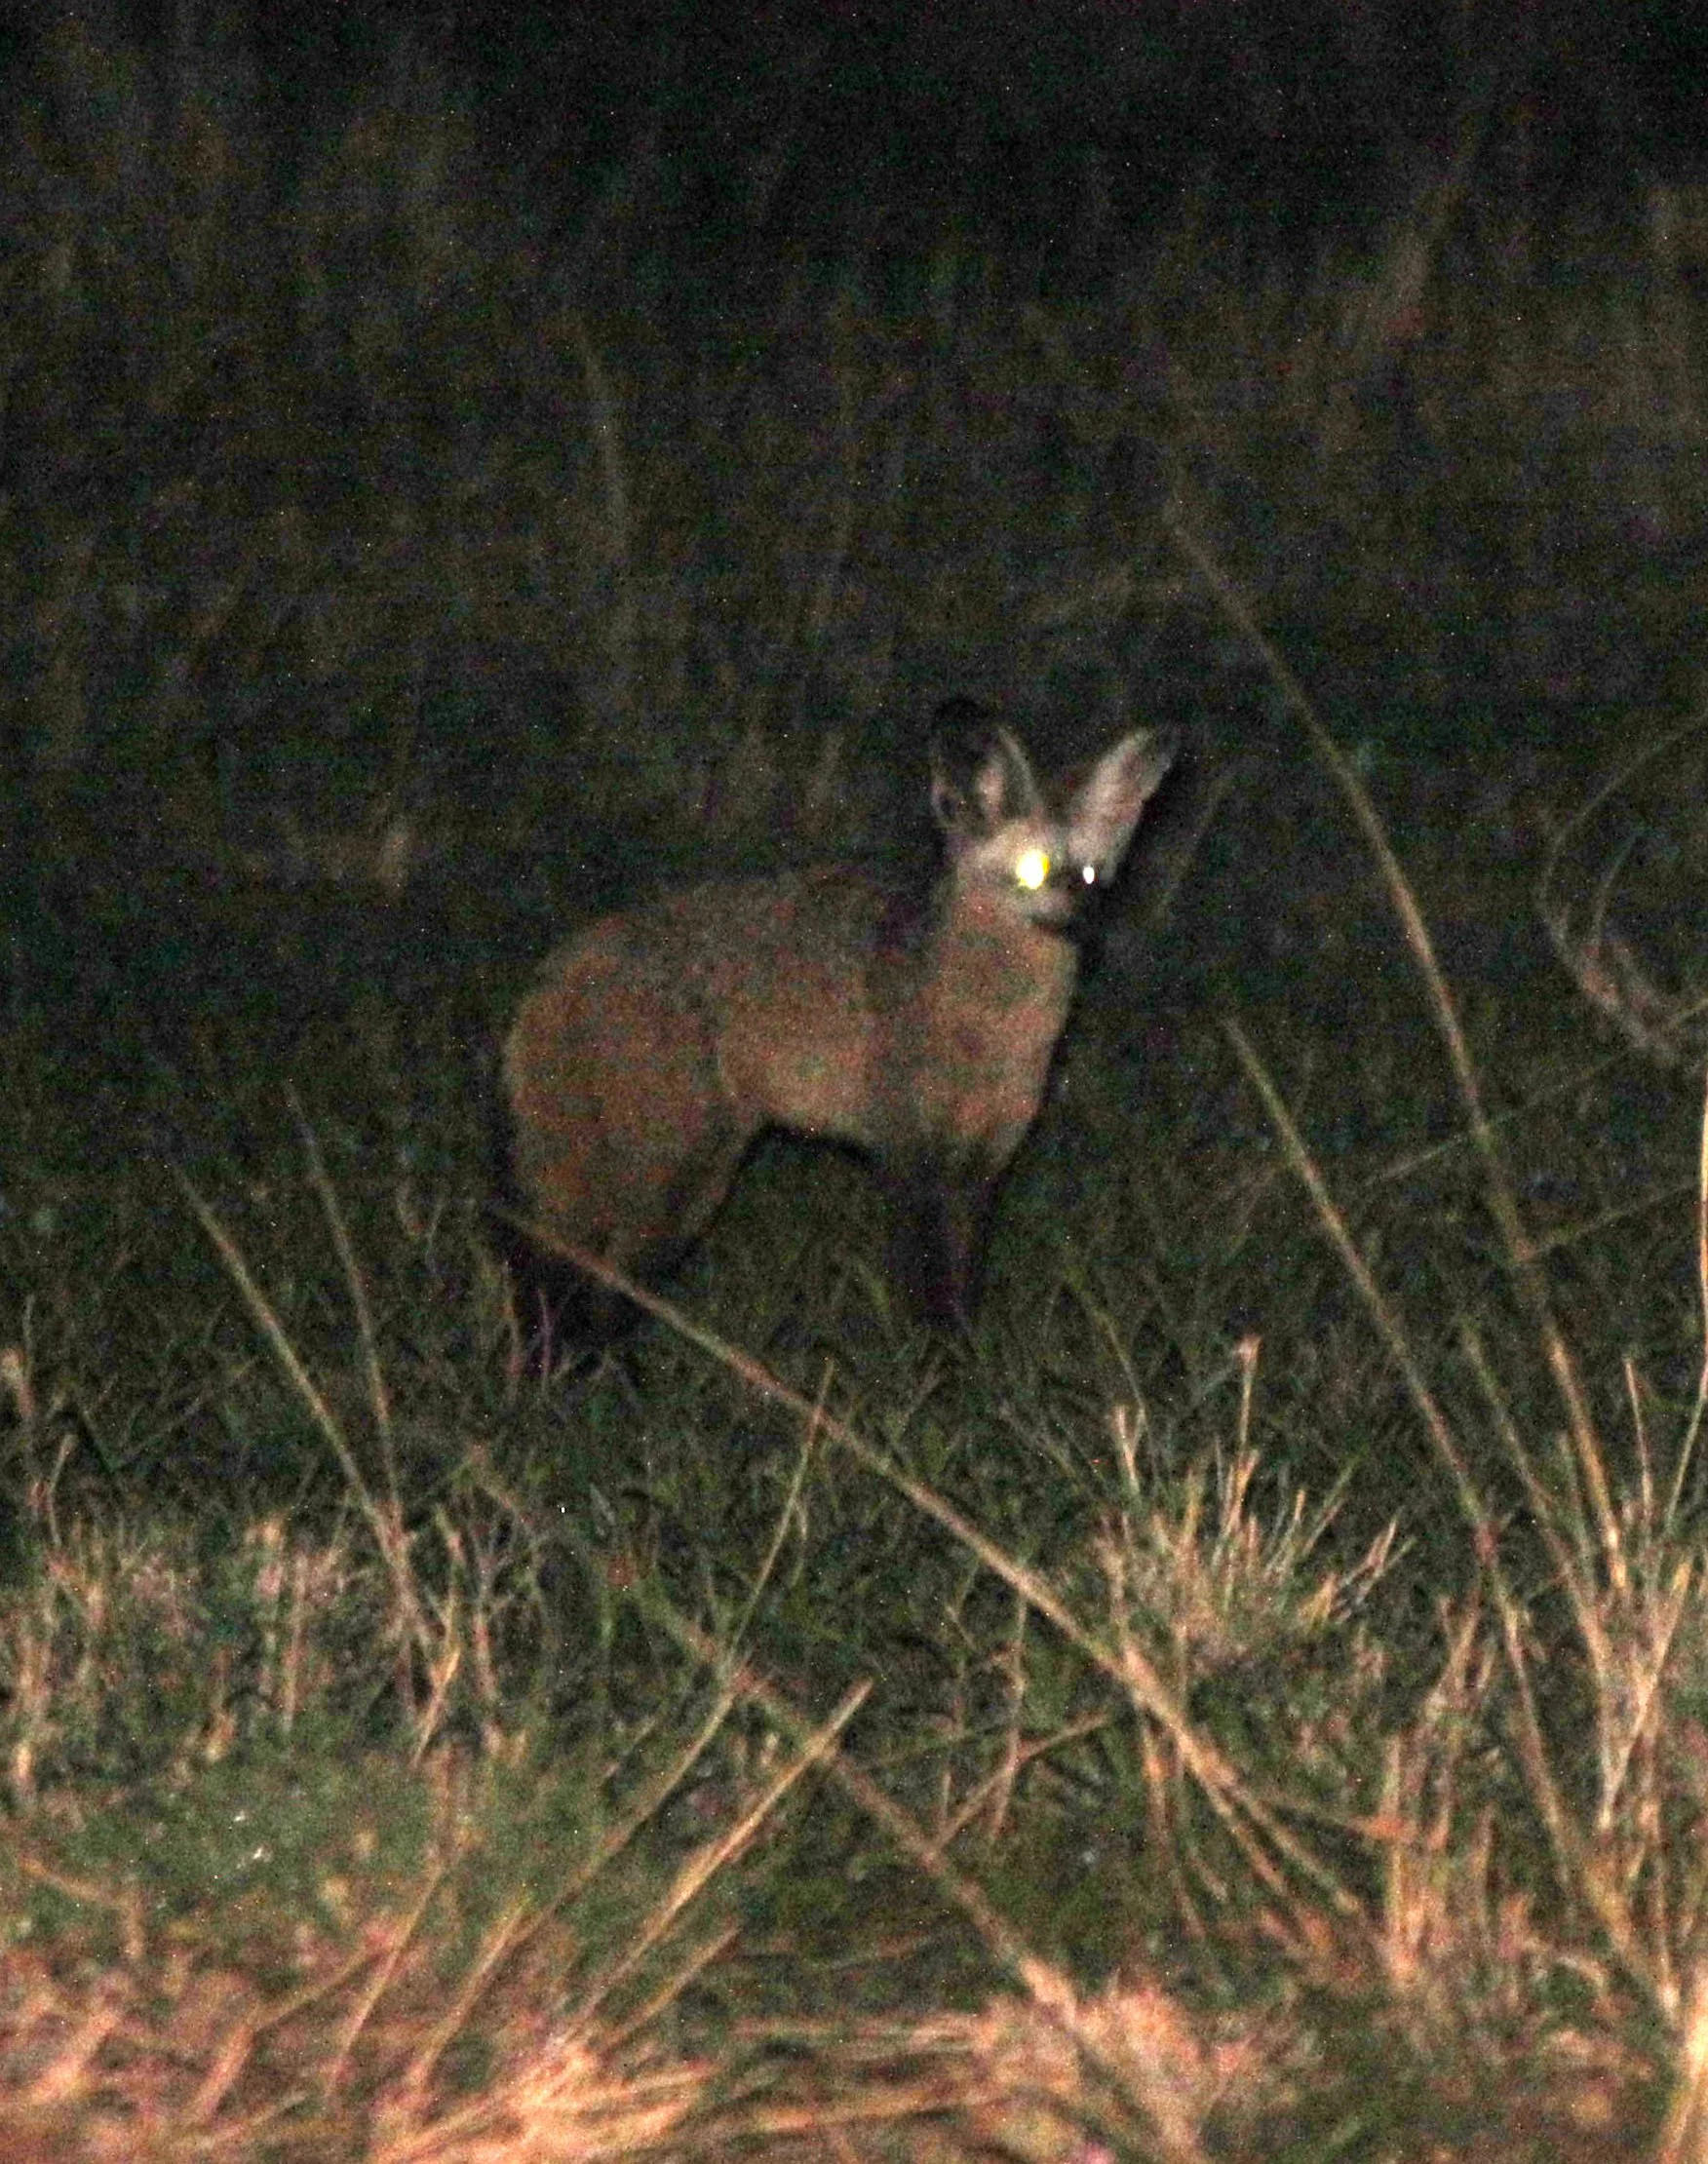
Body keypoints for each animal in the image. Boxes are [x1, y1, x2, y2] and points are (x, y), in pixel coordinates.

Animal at [498, 698, 1177, 1355]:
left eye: (1092, 876)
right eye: (1034, 871)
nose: (1089, 925)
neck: (991, 1026)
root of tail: (563, 963)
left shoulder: (981, 1165)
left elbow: (962, 1292)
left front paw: (969, 1366)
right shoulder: (908, 1157)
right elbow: (924, 1293)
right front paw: (931, 1372)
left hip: (686, 1179)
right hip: (673, 1179)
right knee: (594, 1283)